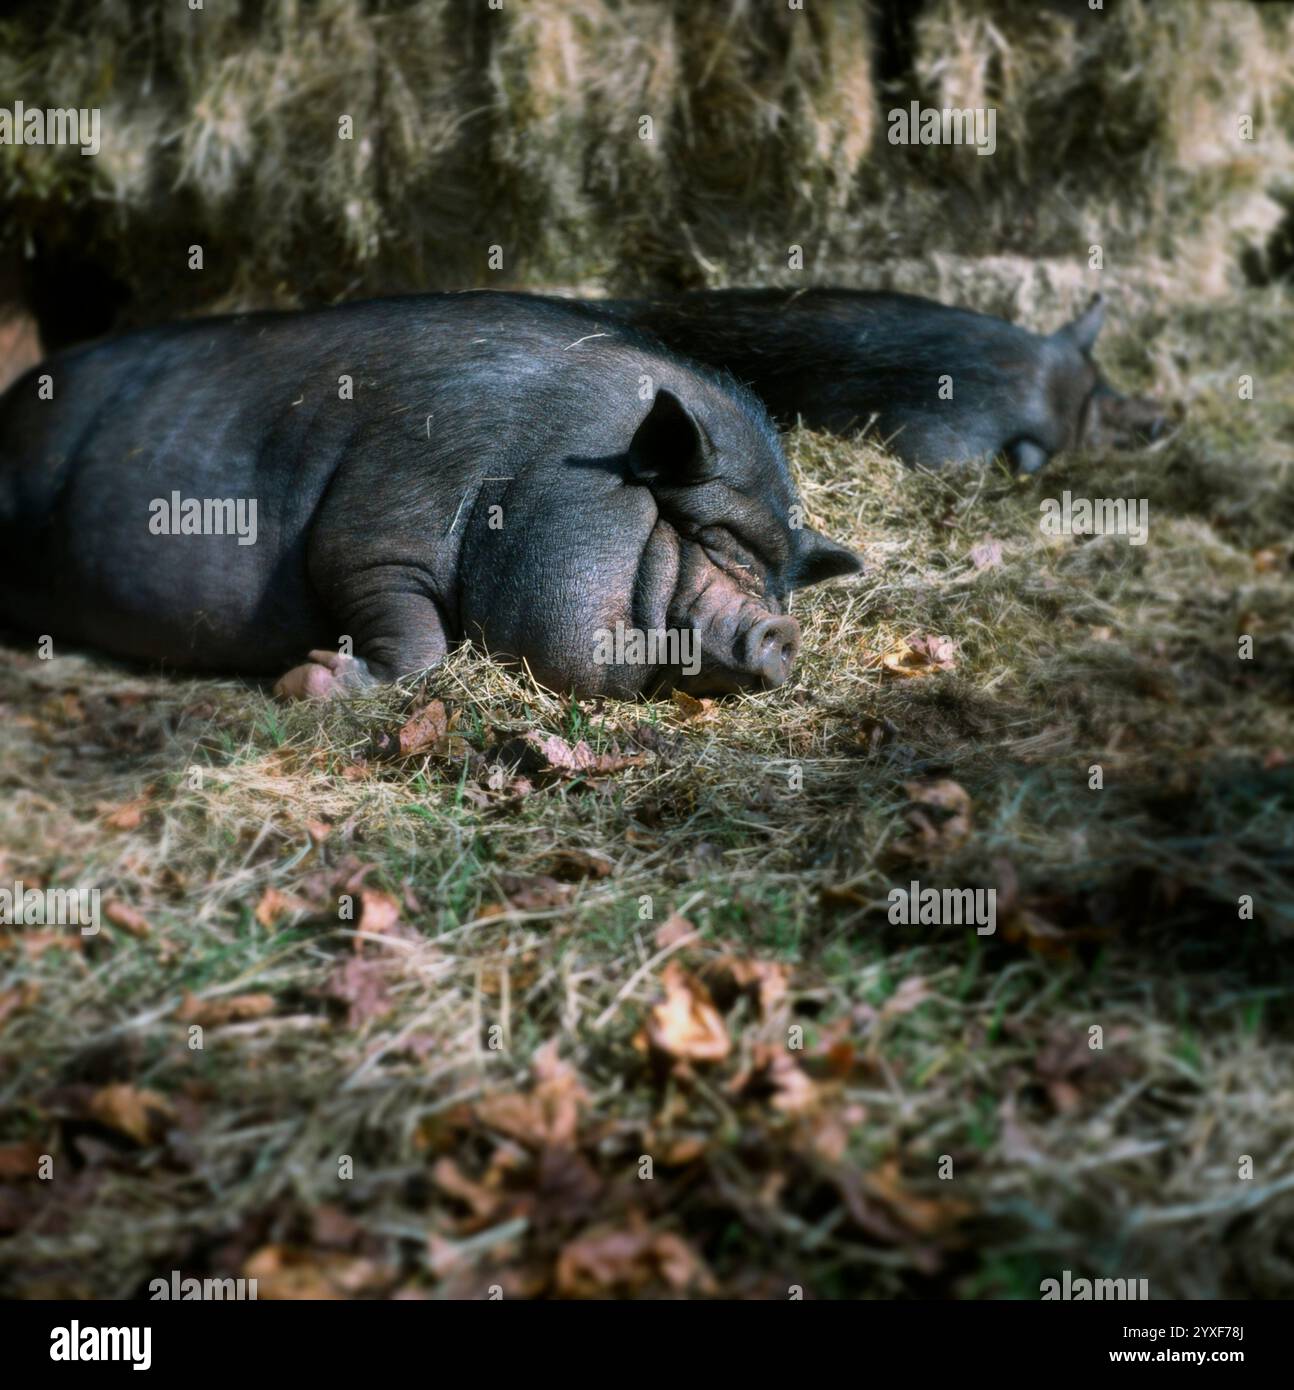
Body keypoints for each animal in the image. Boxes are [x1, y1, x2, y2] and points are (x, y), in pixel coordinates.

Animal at [0, 292, 861, 700]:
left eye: (782, 579)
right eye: (707, 534)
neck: (527, 466)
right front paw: (307, 678)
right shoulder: (376, 530)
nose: (784, 629)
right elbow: (412, 634)